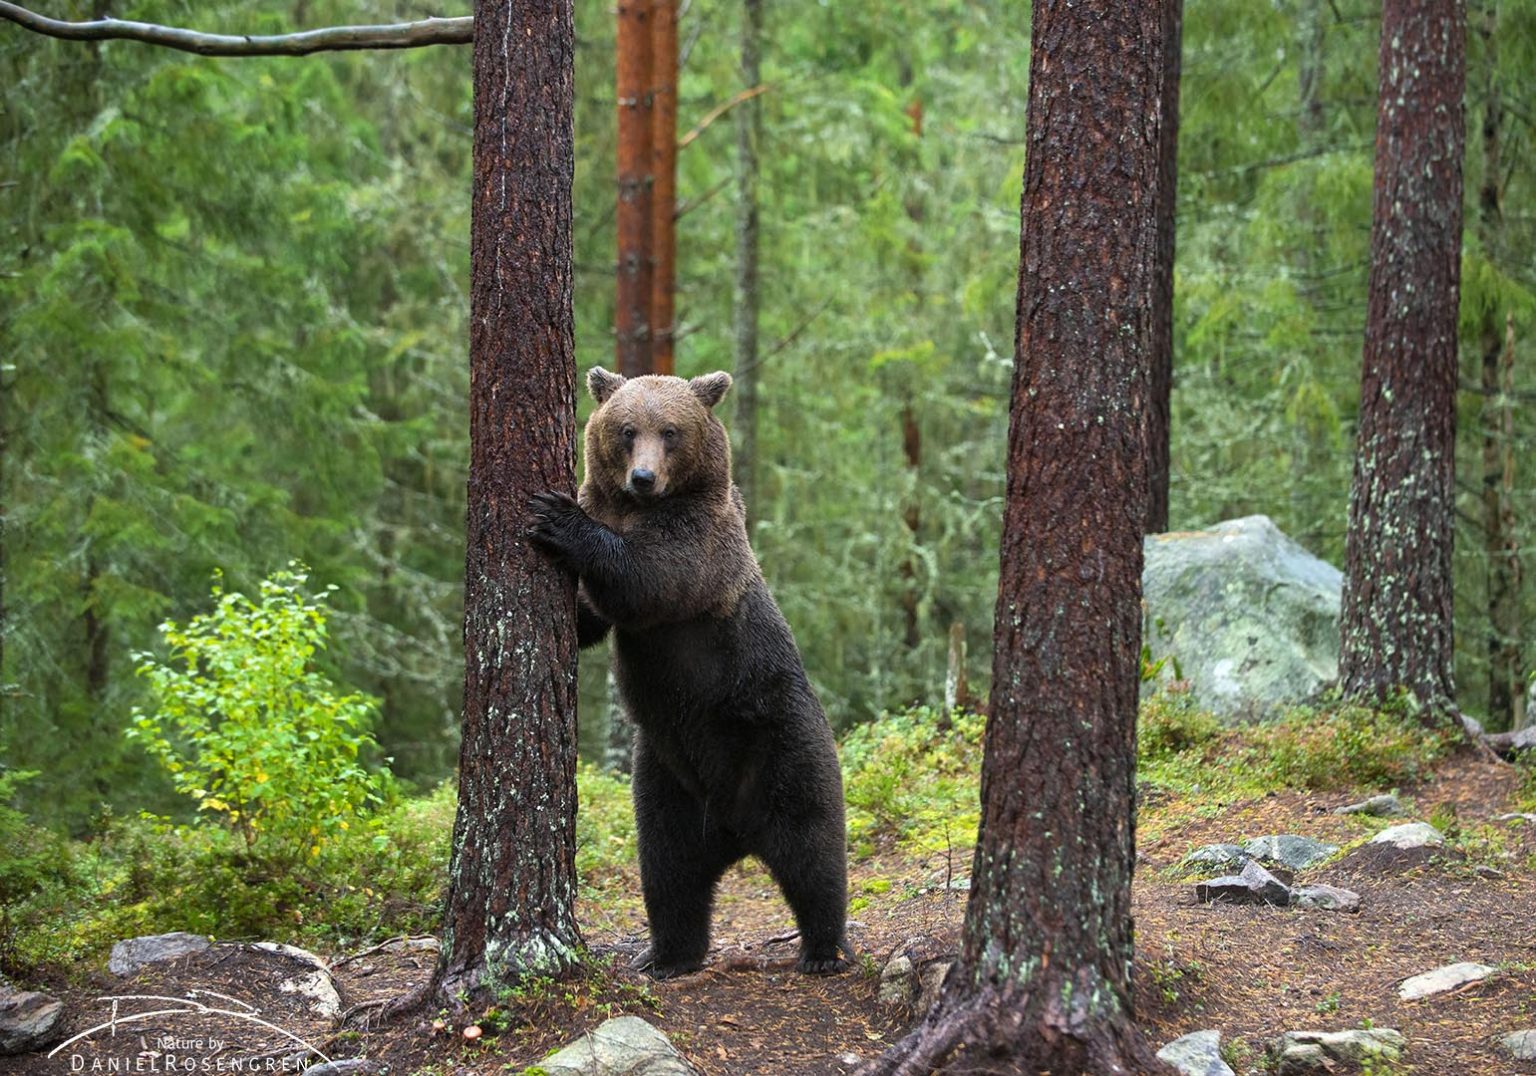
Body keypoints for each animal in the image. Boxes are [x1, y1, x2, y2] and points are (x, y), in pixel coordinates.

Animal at [528, 367, 852, 978]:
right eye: (627, 430)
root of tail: (737, 829)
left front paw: (556, 517)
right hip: (667, 780)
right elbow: (590, 618)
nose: (644, 477)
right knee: (668, 870)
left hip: (782, 742)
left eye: (671, 432)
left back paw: (823, 949)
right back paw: (667, 955)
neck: (631, 509)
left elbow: (651, 578)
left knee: (813, 851)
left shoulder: (701, 541)